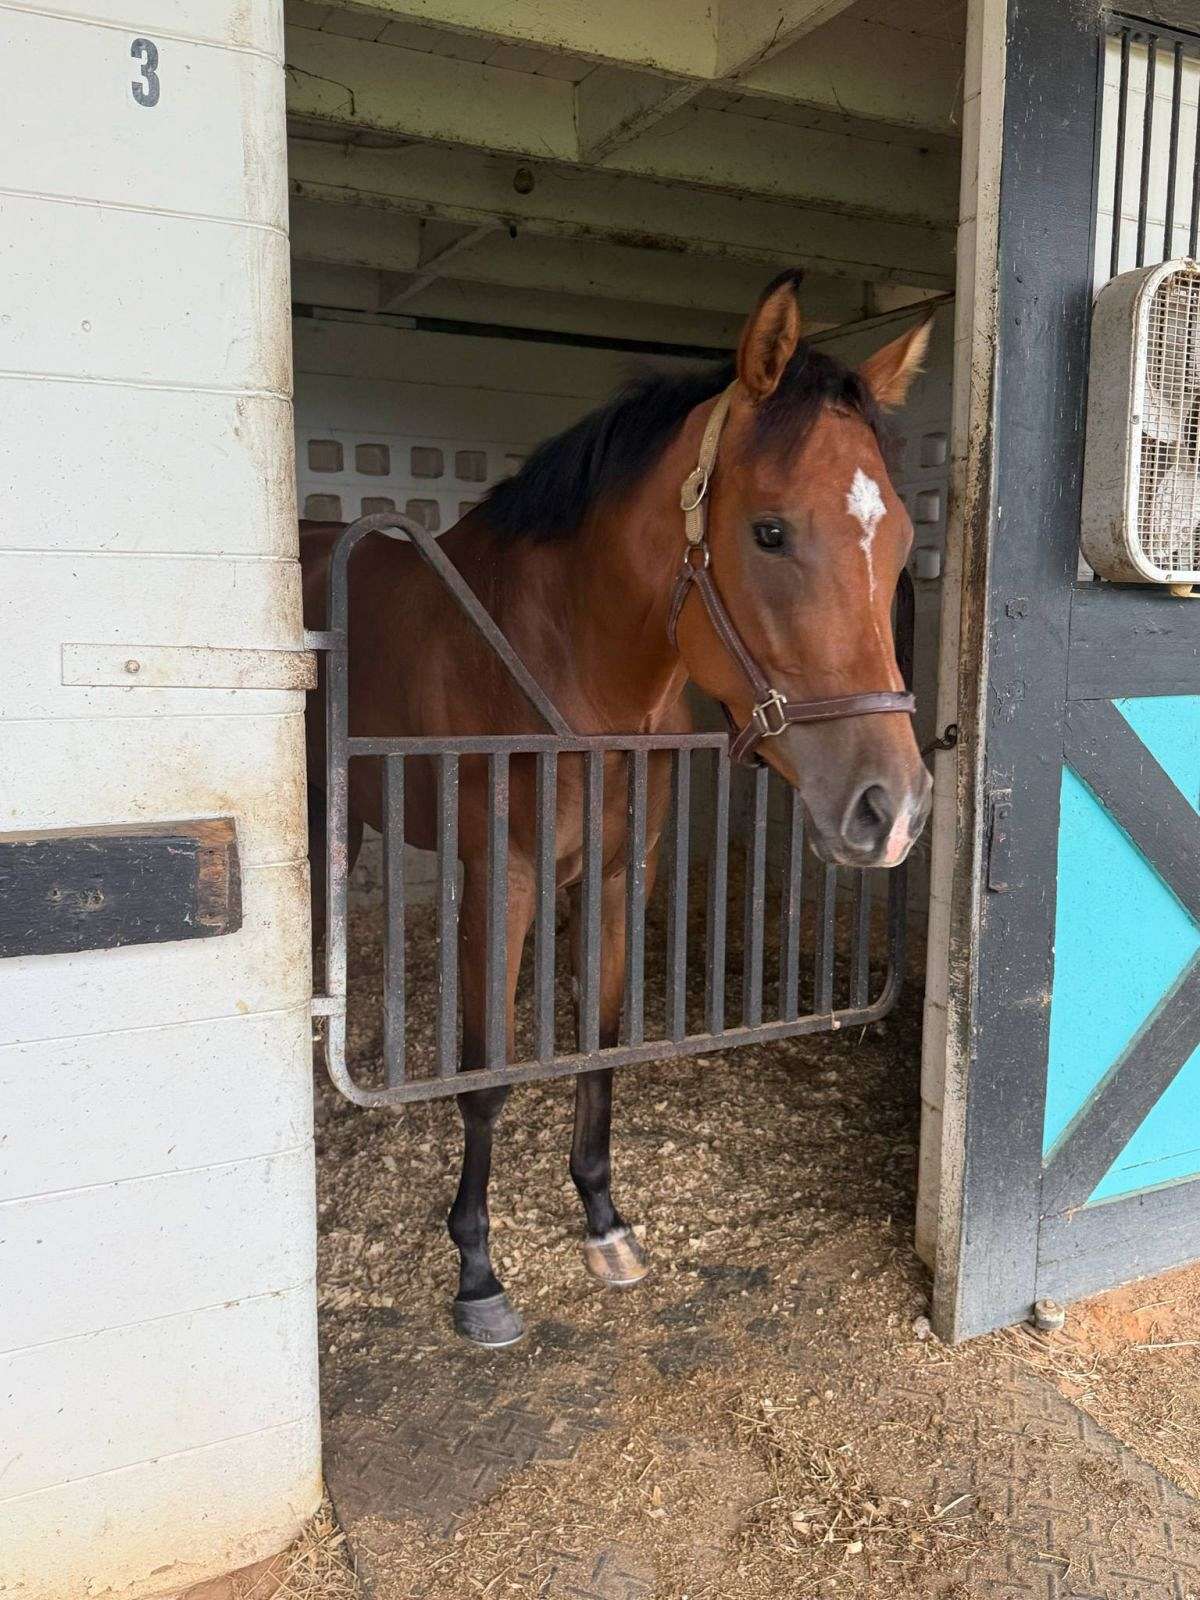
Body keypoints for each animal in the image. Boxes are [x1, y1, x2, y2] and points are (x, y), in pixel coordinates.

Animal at [302, 270, 934, 1347]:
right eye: (770, 530)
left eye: (897, 539)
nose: (889, 808)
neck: (570, 662)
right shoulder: (503, 878)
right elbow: (487, 1074)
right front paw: (478, 1273)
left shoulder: (613, 873)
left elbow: (602, 1044)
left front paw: (604, 1222)